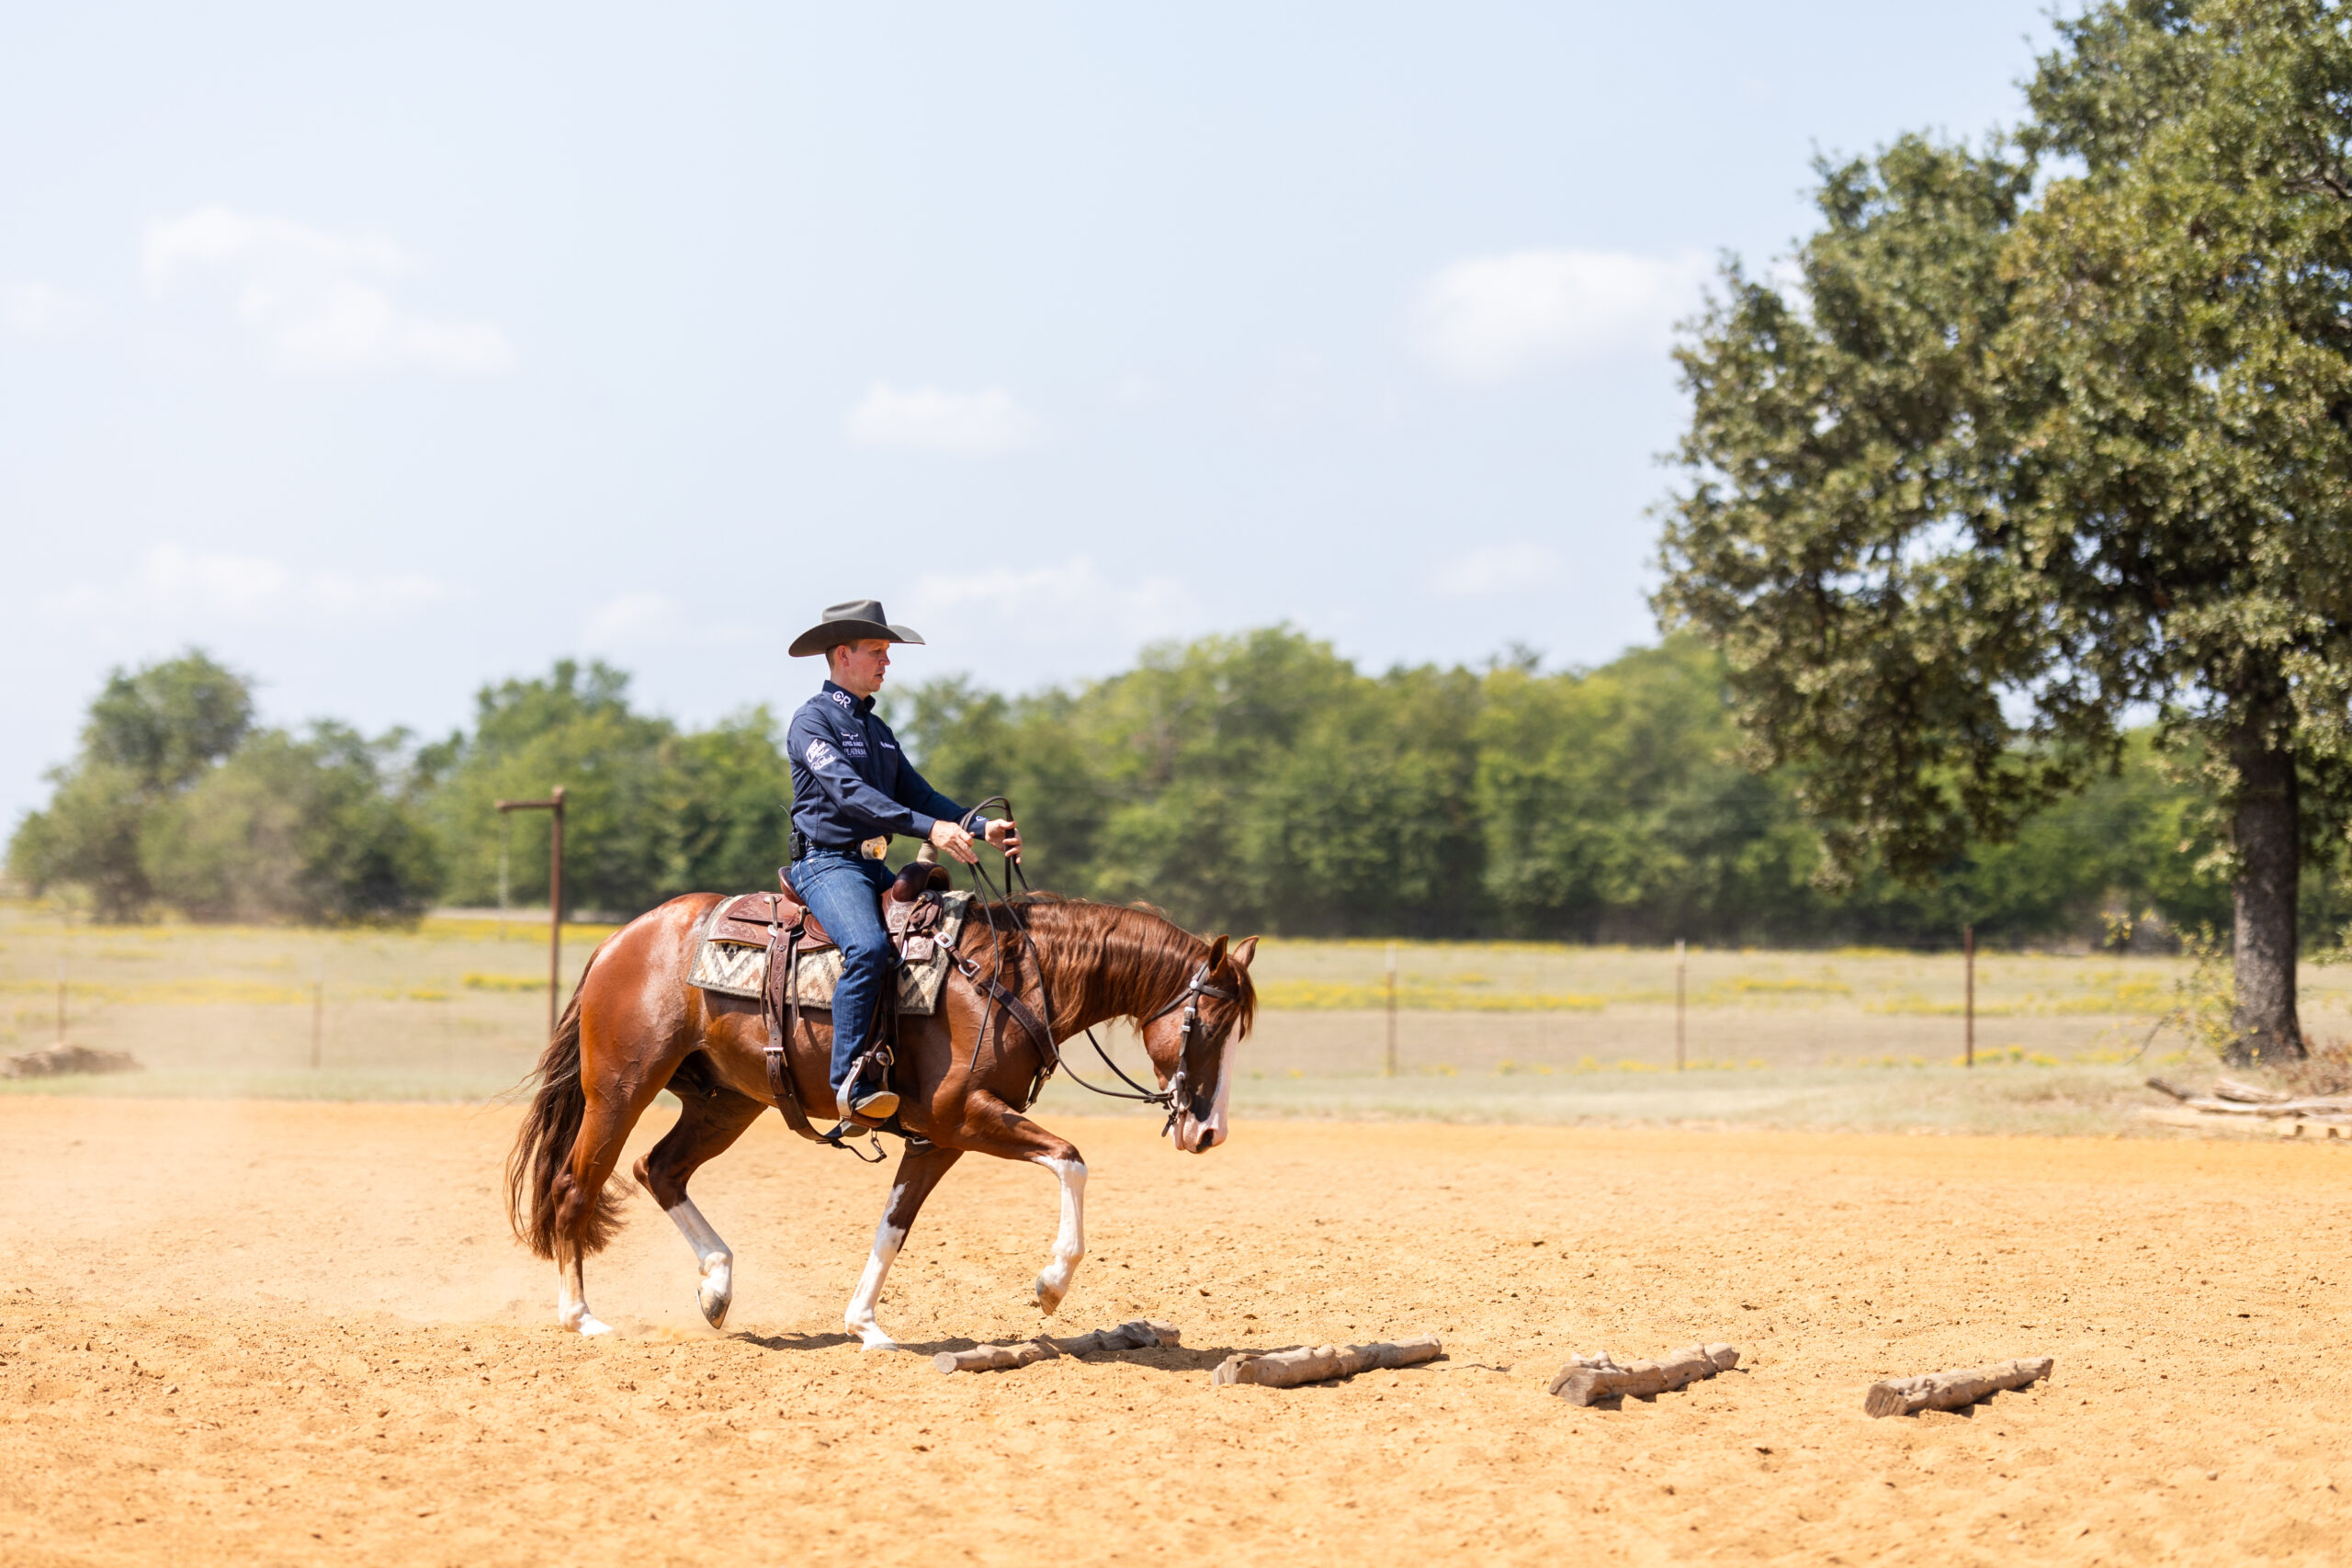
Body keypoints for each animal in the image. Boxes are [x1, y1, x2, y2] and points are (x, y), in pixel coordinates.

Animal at [505, 890, 1258, 1344]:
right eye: (1209, 1023)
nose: (1210, 1132)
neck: (1008, 979)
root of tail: (619, 941)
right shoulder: (964, 1117)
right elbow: (1072, 1158)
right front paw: (1051, 1285)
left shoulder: (939, 1139)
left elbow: (895, 1225)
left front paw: (865, 1324)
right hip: (621, 1088)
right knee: (576, 1186)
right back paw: (582, 1317)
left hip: (727, 1101)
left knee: (658, 1169)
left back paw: (717, 1283)